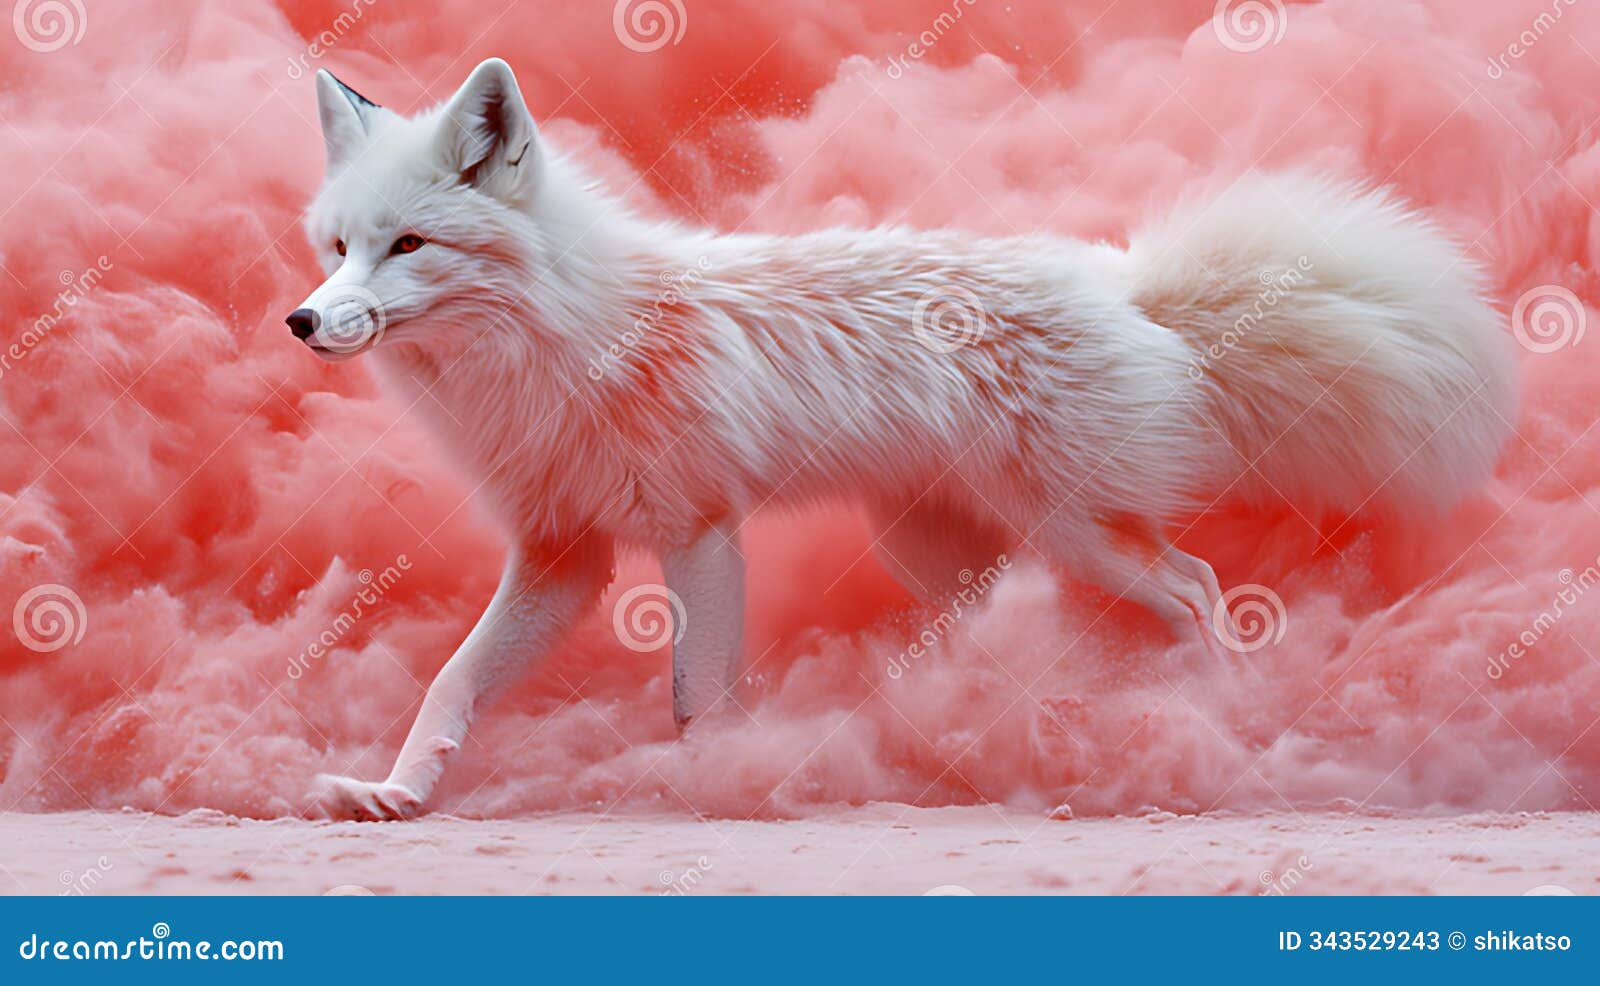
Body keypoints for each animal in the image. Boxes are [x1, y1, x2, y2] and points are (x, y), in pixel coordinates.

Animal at [290, 58, 1516, 820]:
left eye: (409, 245)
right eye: (339, 246)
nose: (302, 321)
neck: (560, 344)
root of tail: (1123, 283)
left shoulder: (698, 532)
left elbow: (695, 697)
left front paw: (715, 783)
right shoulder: (564, 556)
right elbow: (450, 685)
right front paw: (398, 793)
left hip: (1083, 534)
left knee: (1203, 586)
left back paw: (1217, 723)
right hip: (943, 555)